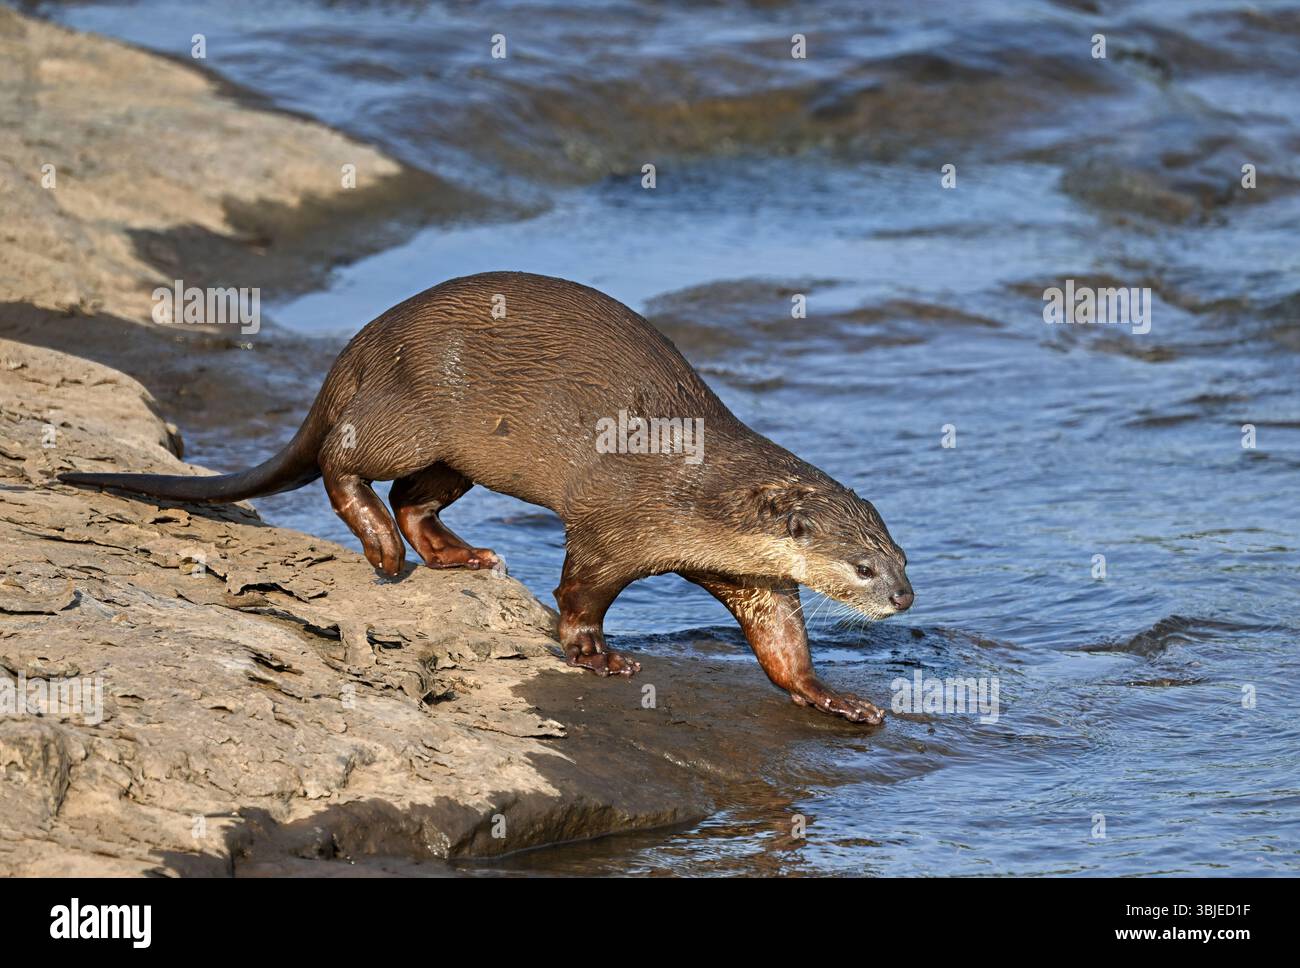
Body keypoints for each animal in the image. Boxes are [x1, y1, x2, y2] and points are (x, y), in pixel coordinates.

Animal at [60, 272, 913, 724]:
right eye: (864, 568)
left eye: (899, 555)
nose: (905, 598)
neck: (695, 486)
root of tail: (364, 341)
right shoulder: (614, 524)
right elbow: (580, 594)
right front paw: (596, 658)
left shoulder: (749, 573)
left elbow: (781, 642)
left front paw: (834, 698)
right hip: (412, 411)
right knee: (346, 459)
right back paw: (383, 550)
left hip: (457, 454)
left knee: (415, 495)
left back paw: (459, 555)